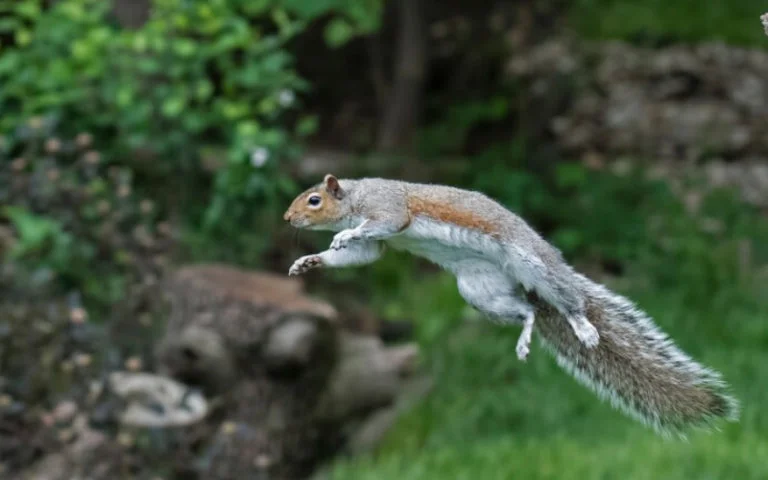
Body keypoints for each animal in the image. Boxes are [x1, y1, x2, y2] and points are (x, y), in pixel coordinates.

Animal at [283, 174, 739, 435]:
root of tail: (523, 276)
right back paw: (524, 336)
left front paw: (343, 236)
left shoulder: (388, 207)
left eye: (313, 200)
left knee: (564, 300)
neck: (356, 196)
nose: (288, 220)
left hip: (531, 262)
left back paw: (581, 324)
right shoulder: (378, 244)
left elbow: (380, 225)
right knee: (529, 311)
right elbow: (365, 255)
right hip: (480, 291)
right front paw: (310, 260)